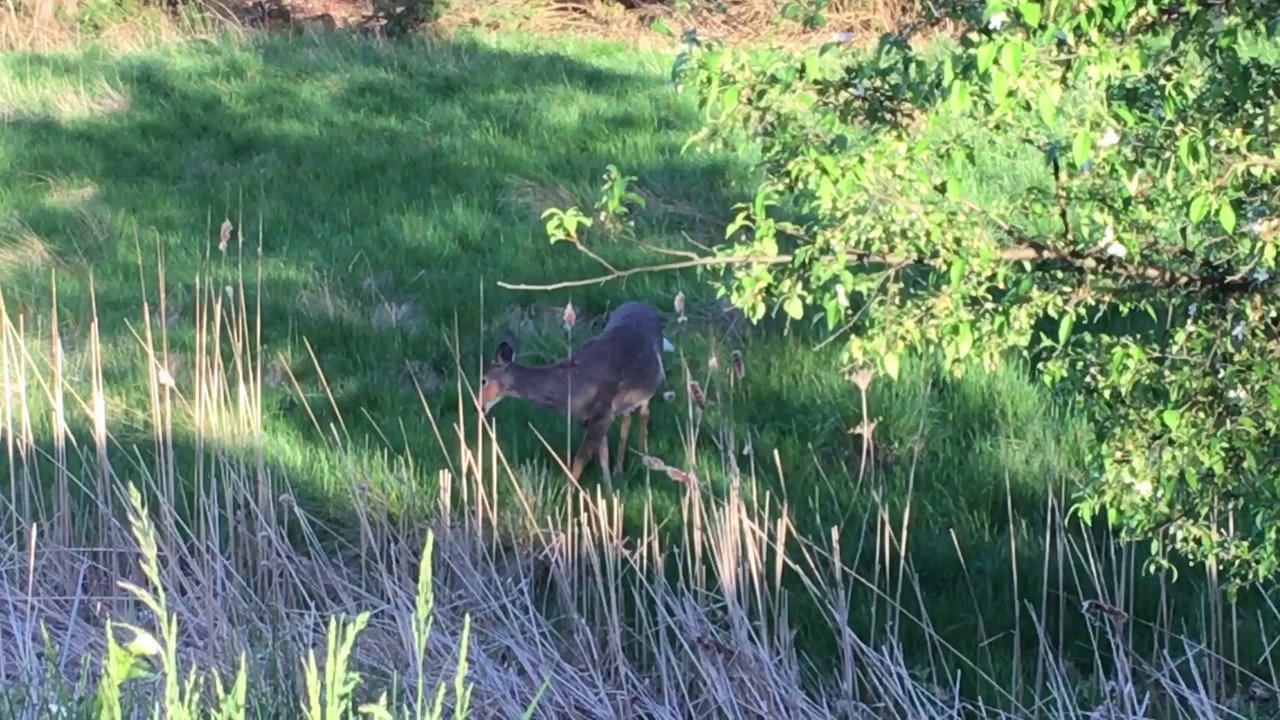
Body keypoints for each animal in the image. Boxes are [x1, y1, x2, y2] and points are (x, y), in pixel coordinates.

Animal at [478, 302, 668, 493]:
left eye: (483, 380)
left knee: (644, 413)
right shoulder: (591, 417)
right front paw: (609, 489)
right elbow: (603, 455)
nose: (480, 406)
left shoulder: (603, 412)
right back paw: (620, 470)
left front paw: (566, 495)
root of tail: (647, 306)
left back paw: (645, 460)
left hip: (651, 384)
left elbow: (579, 460)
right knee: (628, 418)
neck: (573, 390)